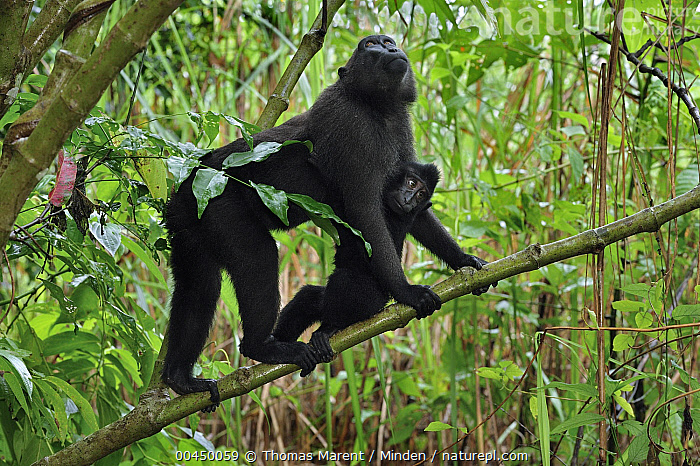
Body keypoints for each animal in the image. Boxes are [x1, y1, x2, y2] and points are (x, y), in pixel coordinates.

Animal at [273, 161, 452, 362]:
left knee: (344, 279)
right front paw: (465, 260)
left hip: (372, 298)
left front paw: (408, 292)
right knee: (309, 296)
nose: (409, 199)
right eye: (412, 183)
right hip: (324, 302)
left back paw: (330, 328)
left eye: (421, 195)